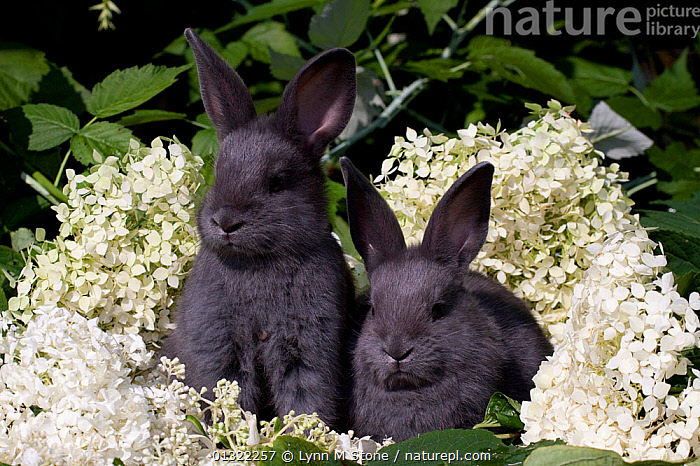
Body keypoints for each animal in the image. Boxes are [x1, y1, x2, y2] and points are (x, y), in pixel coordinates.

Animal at [161, 28, 357, 430]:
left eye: (277, 183)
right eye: (218, 172)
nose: (225, 222)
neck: (259, 263)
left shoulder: (308, 348)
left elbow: (305, 399)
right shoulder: (220, 347)